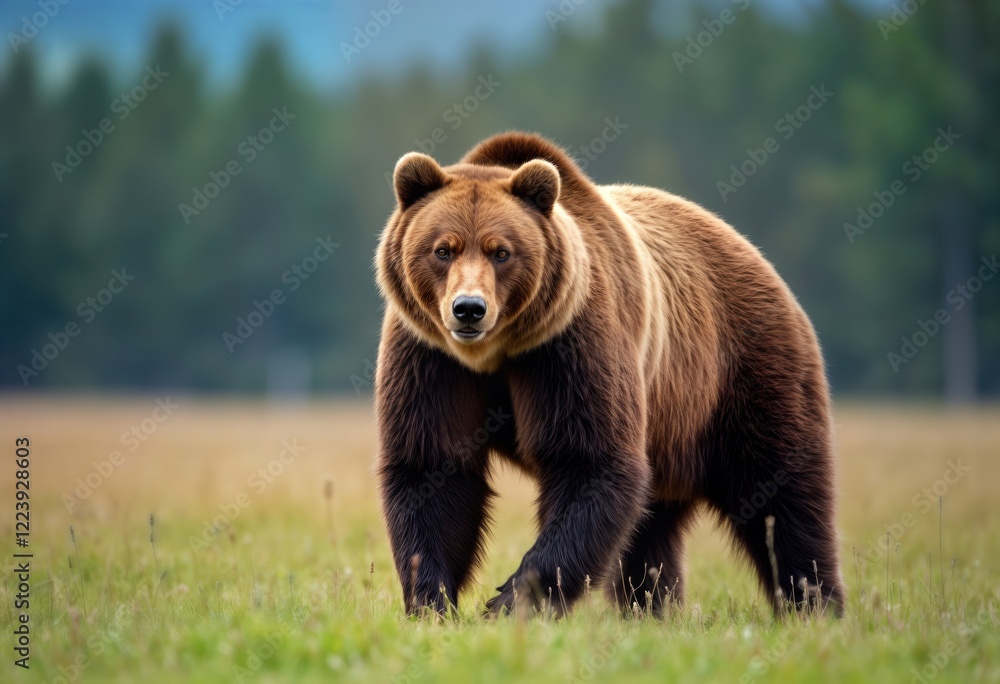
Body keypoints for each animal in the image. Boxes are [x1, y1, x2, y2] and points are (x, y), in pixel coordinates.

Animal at [374, 131, 844, 618]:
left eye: (501, 251)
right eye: (442, 249)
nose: (469, 308)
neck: (495, 354)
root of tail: (755, 254)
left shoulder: (572, 343)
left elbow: (591, 463)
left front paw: (510, 602)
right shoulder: (430, 359)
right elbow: (432, 468)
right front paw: (432, 599)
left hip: (744, 373)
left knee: (782, 496)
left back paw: (813, 604)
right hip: (670, 432)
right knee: (653, 529)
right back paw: (652, 608)